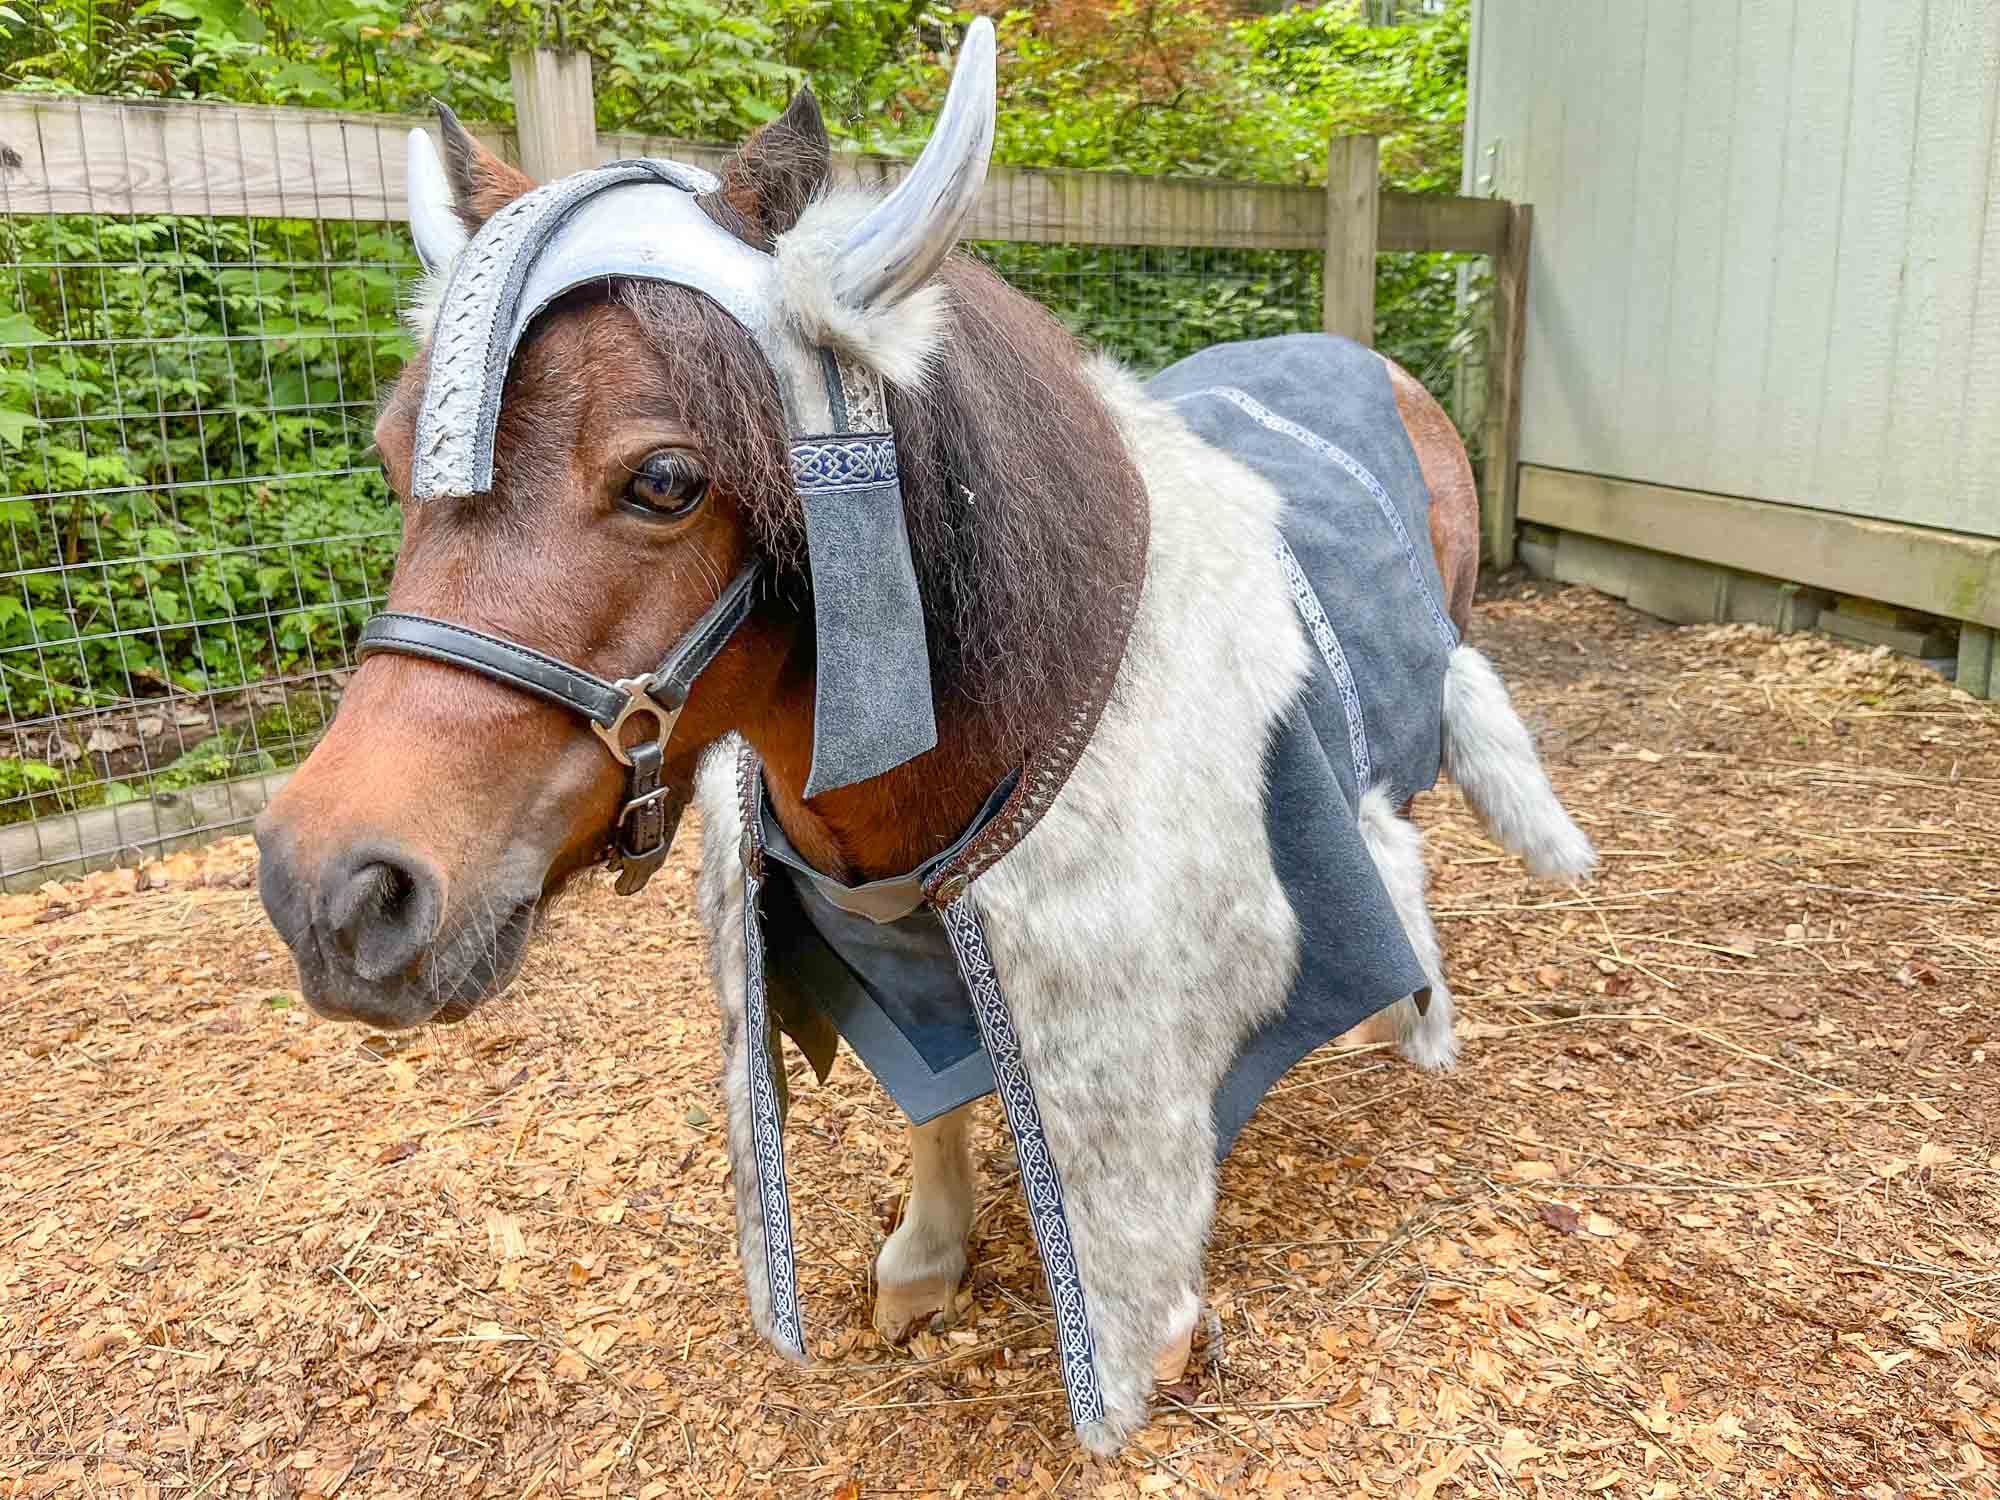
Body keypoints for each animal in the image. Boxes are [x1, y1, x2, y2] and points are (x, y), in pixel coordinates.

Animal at [253, 21, 1593, 1453]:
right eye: (392, 456)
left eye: (665, 480)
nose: (329, 890)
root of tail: (1374, 363)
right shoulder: (891, 943)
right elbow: (937, 1095)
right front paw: (928, 1255)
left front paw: (1163, 1317)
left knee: (1396, 850)